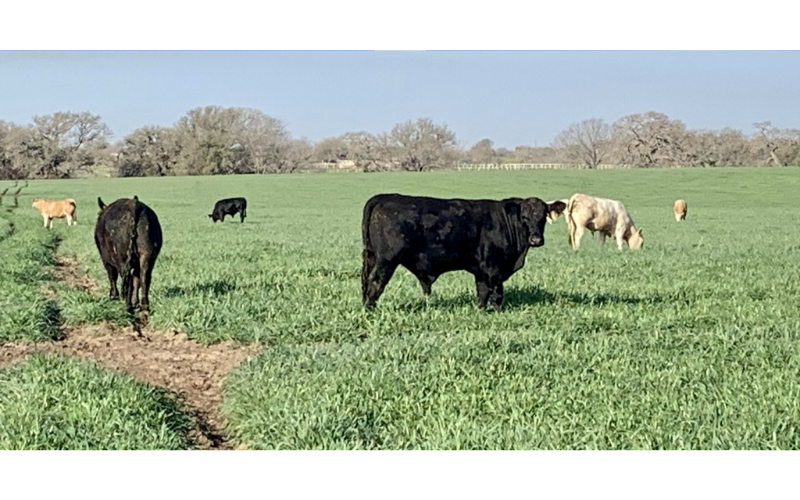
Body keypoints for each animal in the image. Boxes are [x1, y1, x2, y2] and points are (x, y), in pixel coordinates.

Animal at [361, 194, 563, 311]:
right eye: (524, 217)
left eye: (543, 216)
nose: (536, 239)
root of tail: (382, 198)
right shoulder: (494, 268)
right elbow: (496, 293)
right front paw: (498, 312)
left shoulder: (482, 270)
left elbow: (482, 292)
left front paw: (480, 311)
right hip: (386, 261)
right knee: (375, 283)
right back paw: (370, 310)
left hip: (371, 256)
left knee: (365, 282)